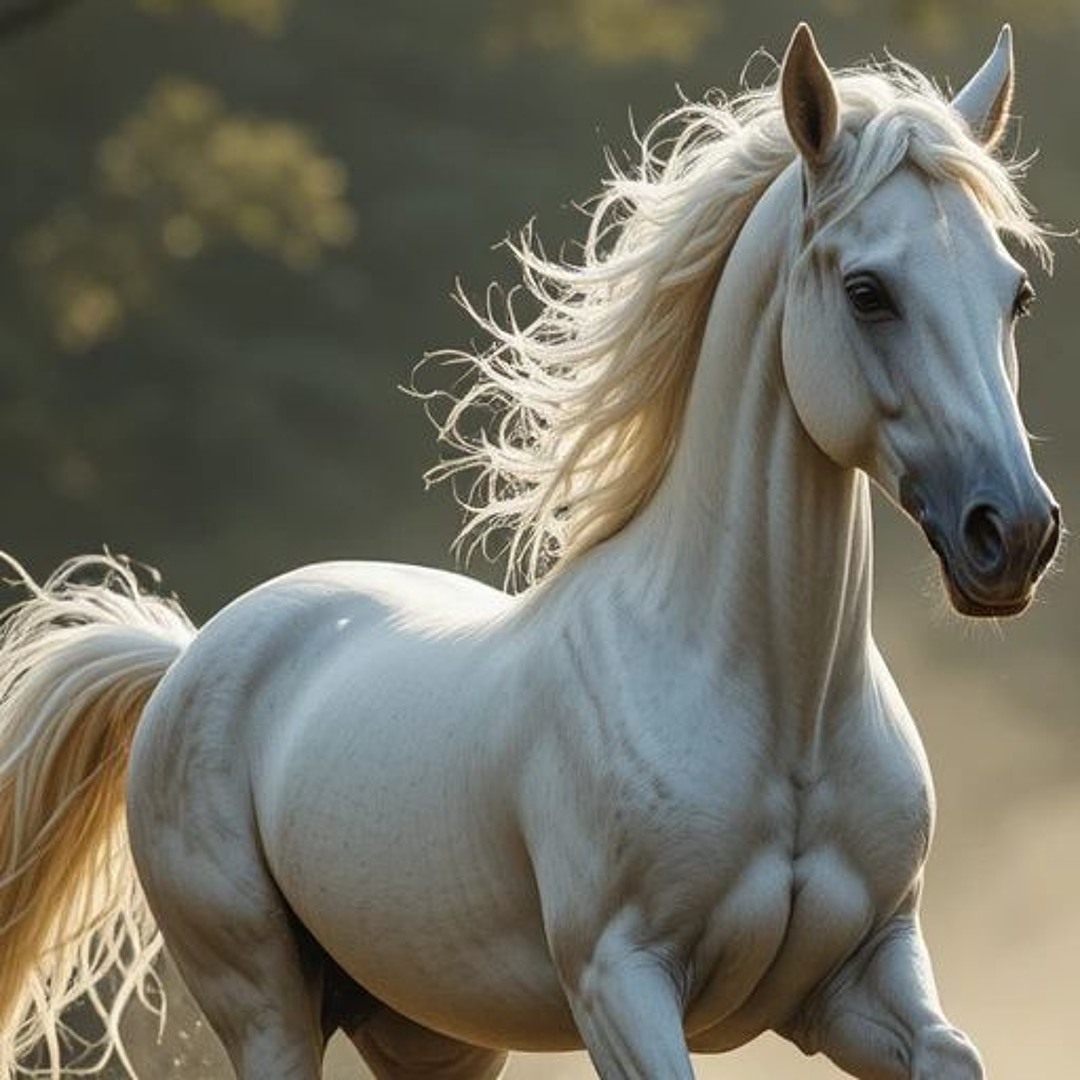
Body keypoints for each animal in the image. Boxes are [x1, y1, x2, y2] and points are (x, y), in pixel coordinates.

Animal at [0, 22, 1062, 1080]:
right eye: (868, 291)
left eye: (1014, 294)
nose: (1013, 535)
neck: (781, 717)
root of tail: (187, 656)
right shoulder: (619, 985)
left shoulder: (859, 978)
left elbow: (952, 1052)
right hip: (263, 1003)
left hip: (432, 1035)